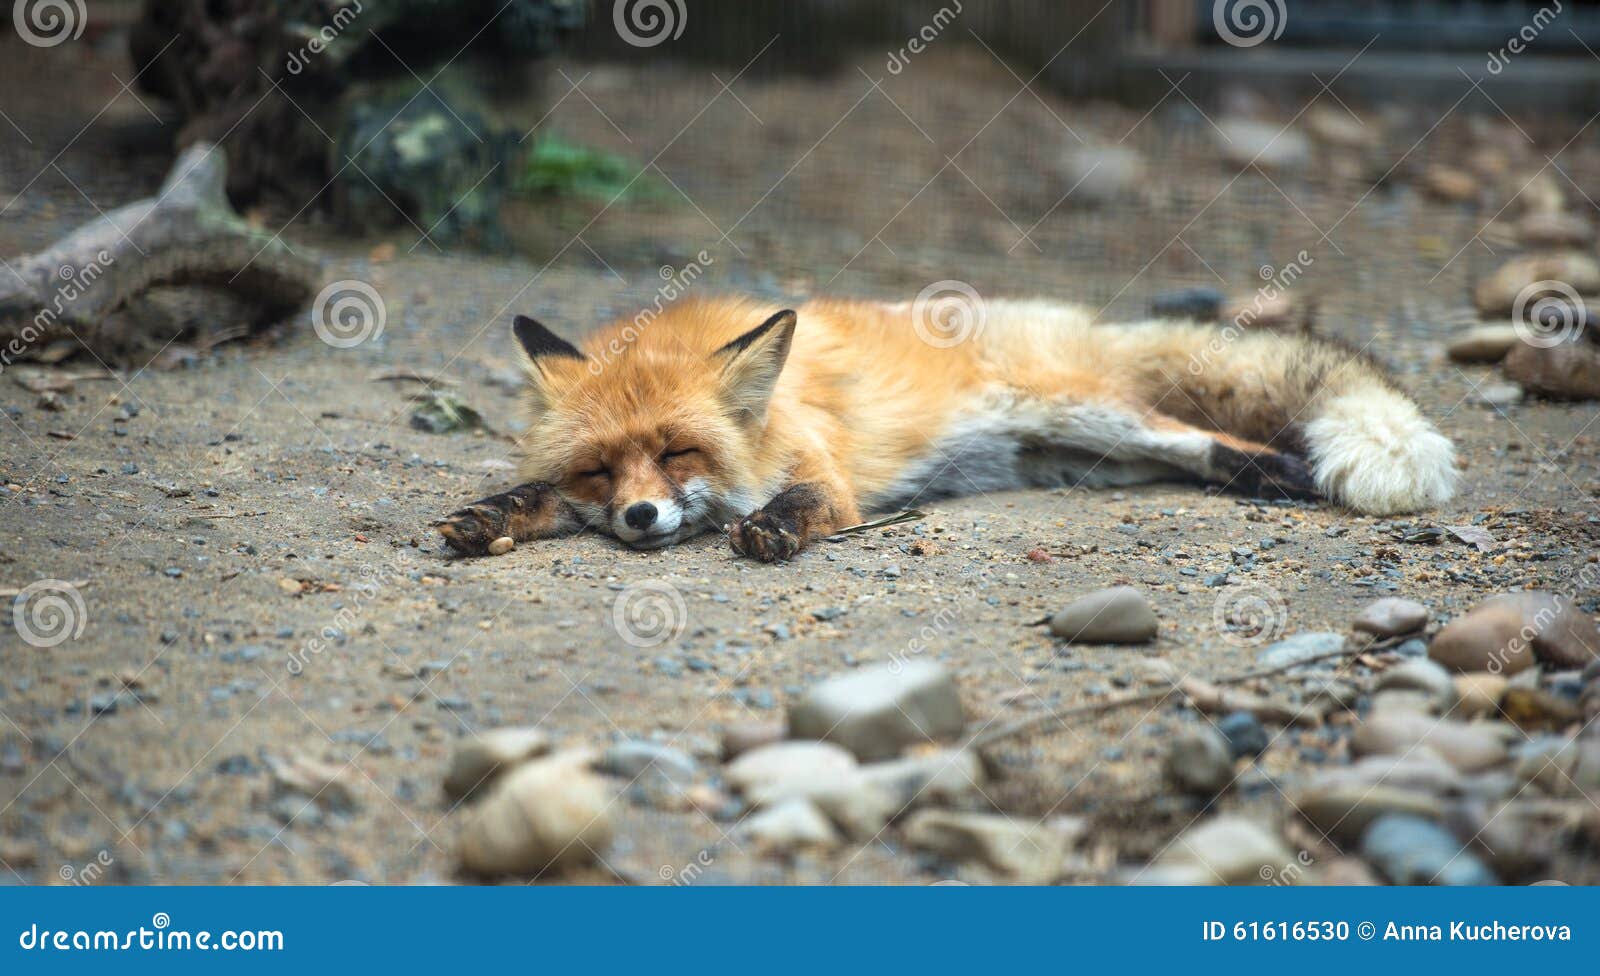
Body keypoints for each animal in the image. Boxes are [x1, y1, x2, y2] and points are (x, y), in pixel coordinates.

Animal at [434, 295, 1457, 562]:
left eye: (678, 451)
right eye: (600, 472)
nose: (643, 520)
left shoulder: (823, 472)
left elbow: (803, 504)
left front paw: (769, 528)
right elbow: (529, 498)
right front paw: (495, 514)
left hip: (1086, 413)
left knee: (1188, 430)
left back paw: (1276, 470)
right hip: (1076, 459)